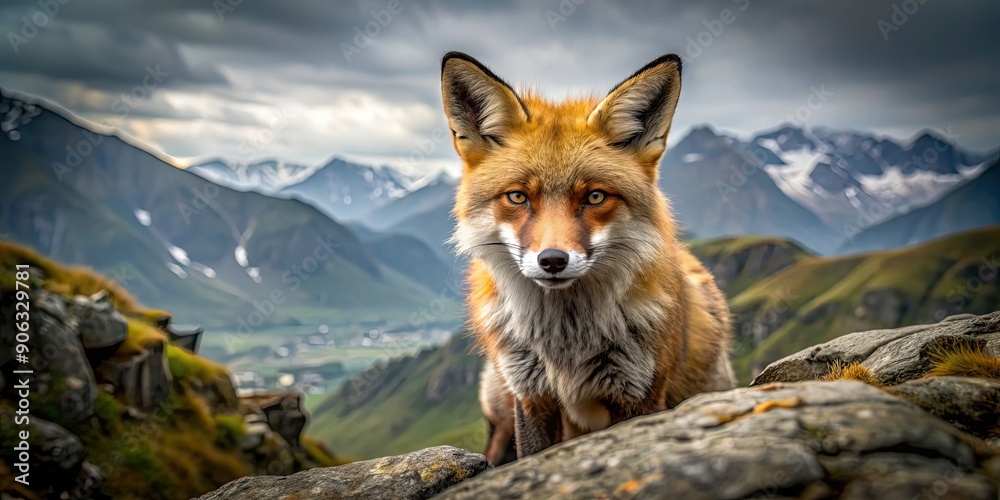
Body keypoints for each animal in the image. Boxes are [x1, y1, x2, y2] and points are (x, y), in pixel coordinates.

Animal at [440, 51, 735, 465]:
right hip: (501, 413)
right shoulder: (531, 397)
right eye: (517, 197)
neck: (568, 341)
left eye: (595, 197)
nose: (552, 260)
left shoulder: (638, 395)